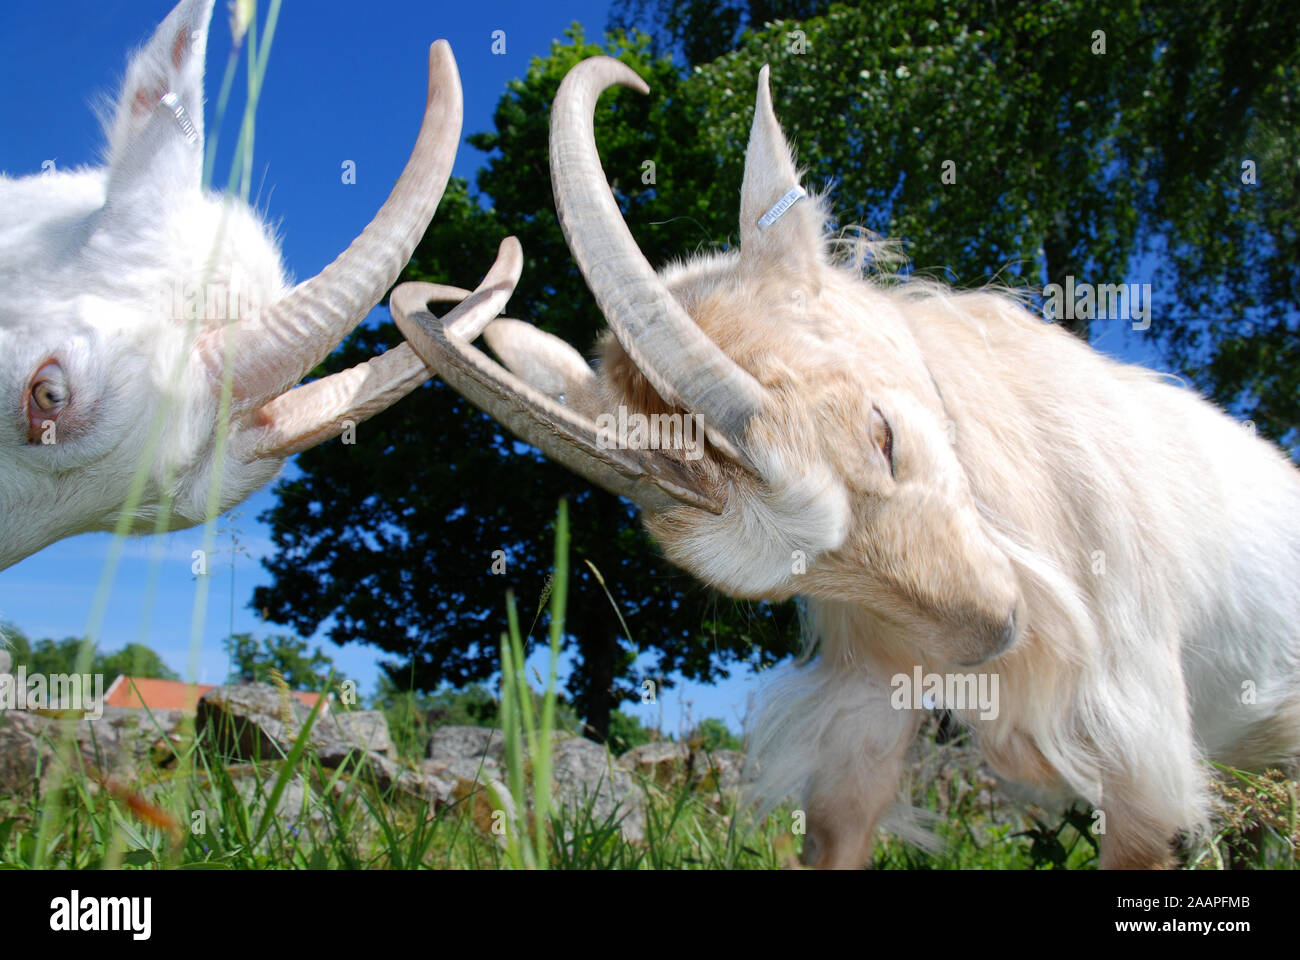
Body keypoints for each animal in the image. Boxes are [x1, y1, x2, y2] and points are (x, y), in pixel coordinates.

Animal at [394, 57, 1300, 868]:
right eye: (796, 575)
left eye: (882, 432)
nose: (993, 634)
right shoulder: (871, 682)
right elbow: (842, 813)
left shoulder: (1137, 725)